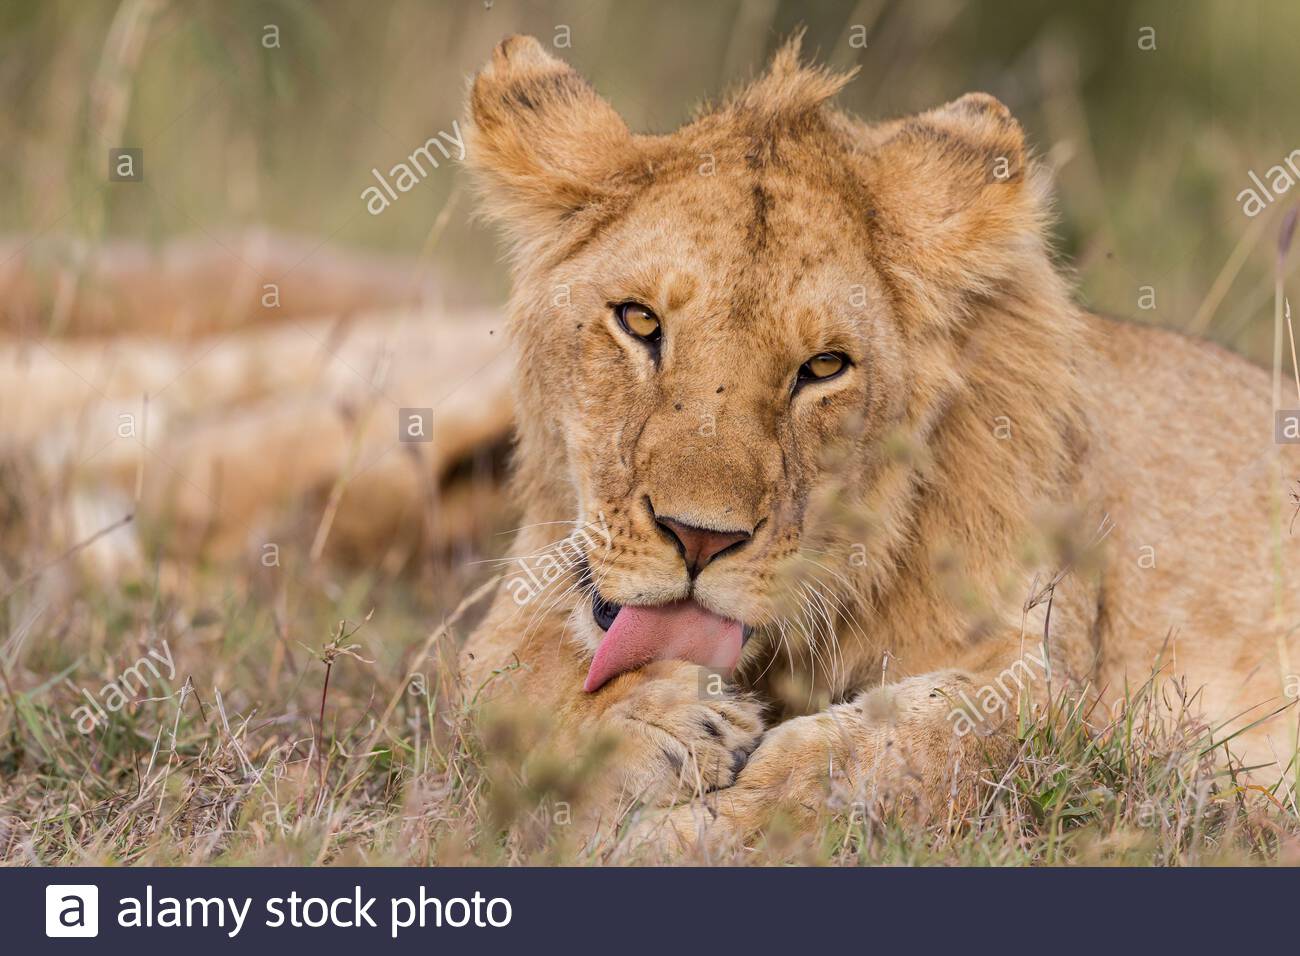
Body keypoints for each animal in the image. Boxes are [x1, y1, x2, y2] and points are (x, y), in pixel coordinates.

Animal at [458, 33, 1300, 850]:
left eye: (825, 367)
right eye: (639, 321)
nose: (698, 540)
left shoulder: (1052, 670)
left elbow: (911, 752)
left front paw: (695, 829)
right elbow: (494, 680)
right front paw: (650, 725)